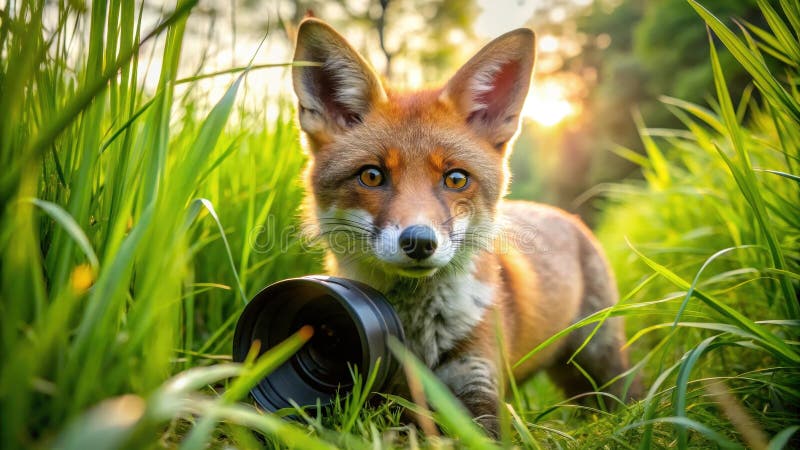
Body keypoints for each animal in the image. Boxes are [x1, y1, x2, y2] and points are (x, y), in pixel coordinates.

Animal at [291, 18, 634, 435]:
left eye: (455, 179)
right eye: (371, 176)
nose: (419, 242)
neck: (418, 336)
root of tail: (568, 216)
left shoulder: (478, 383)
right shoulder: (379, 394)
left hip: (602, 361)